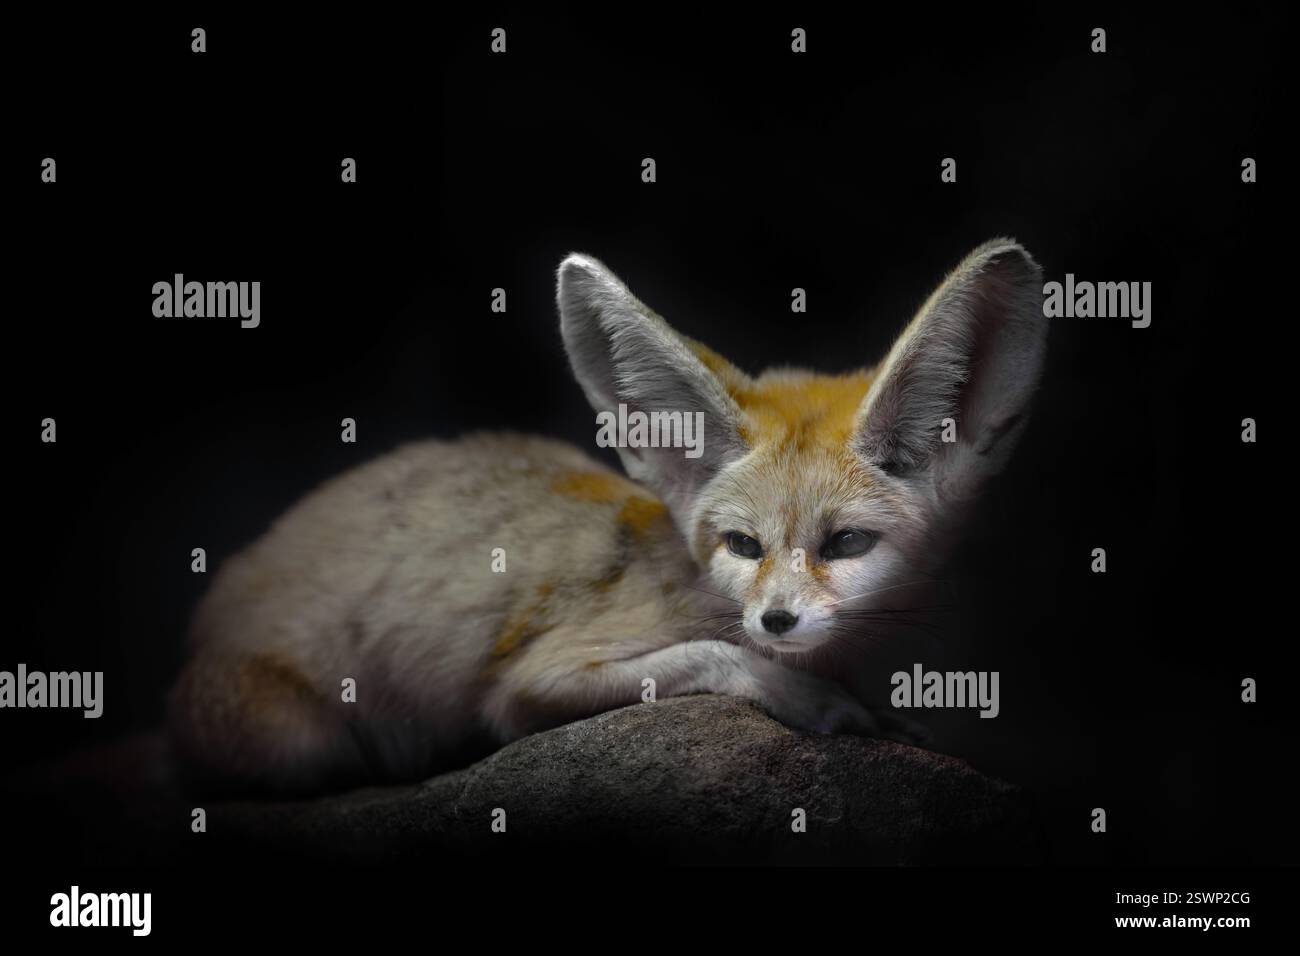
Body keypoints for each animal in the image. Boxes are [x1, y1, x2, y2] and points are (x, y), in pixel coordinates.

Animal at [167, 238, 1048, 794]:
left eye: (846, 543)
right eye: (742, 545)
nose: (776, 620)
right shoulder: (531, 685)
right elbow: (716, 657)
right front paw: (814, 702)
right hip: (297, 743)